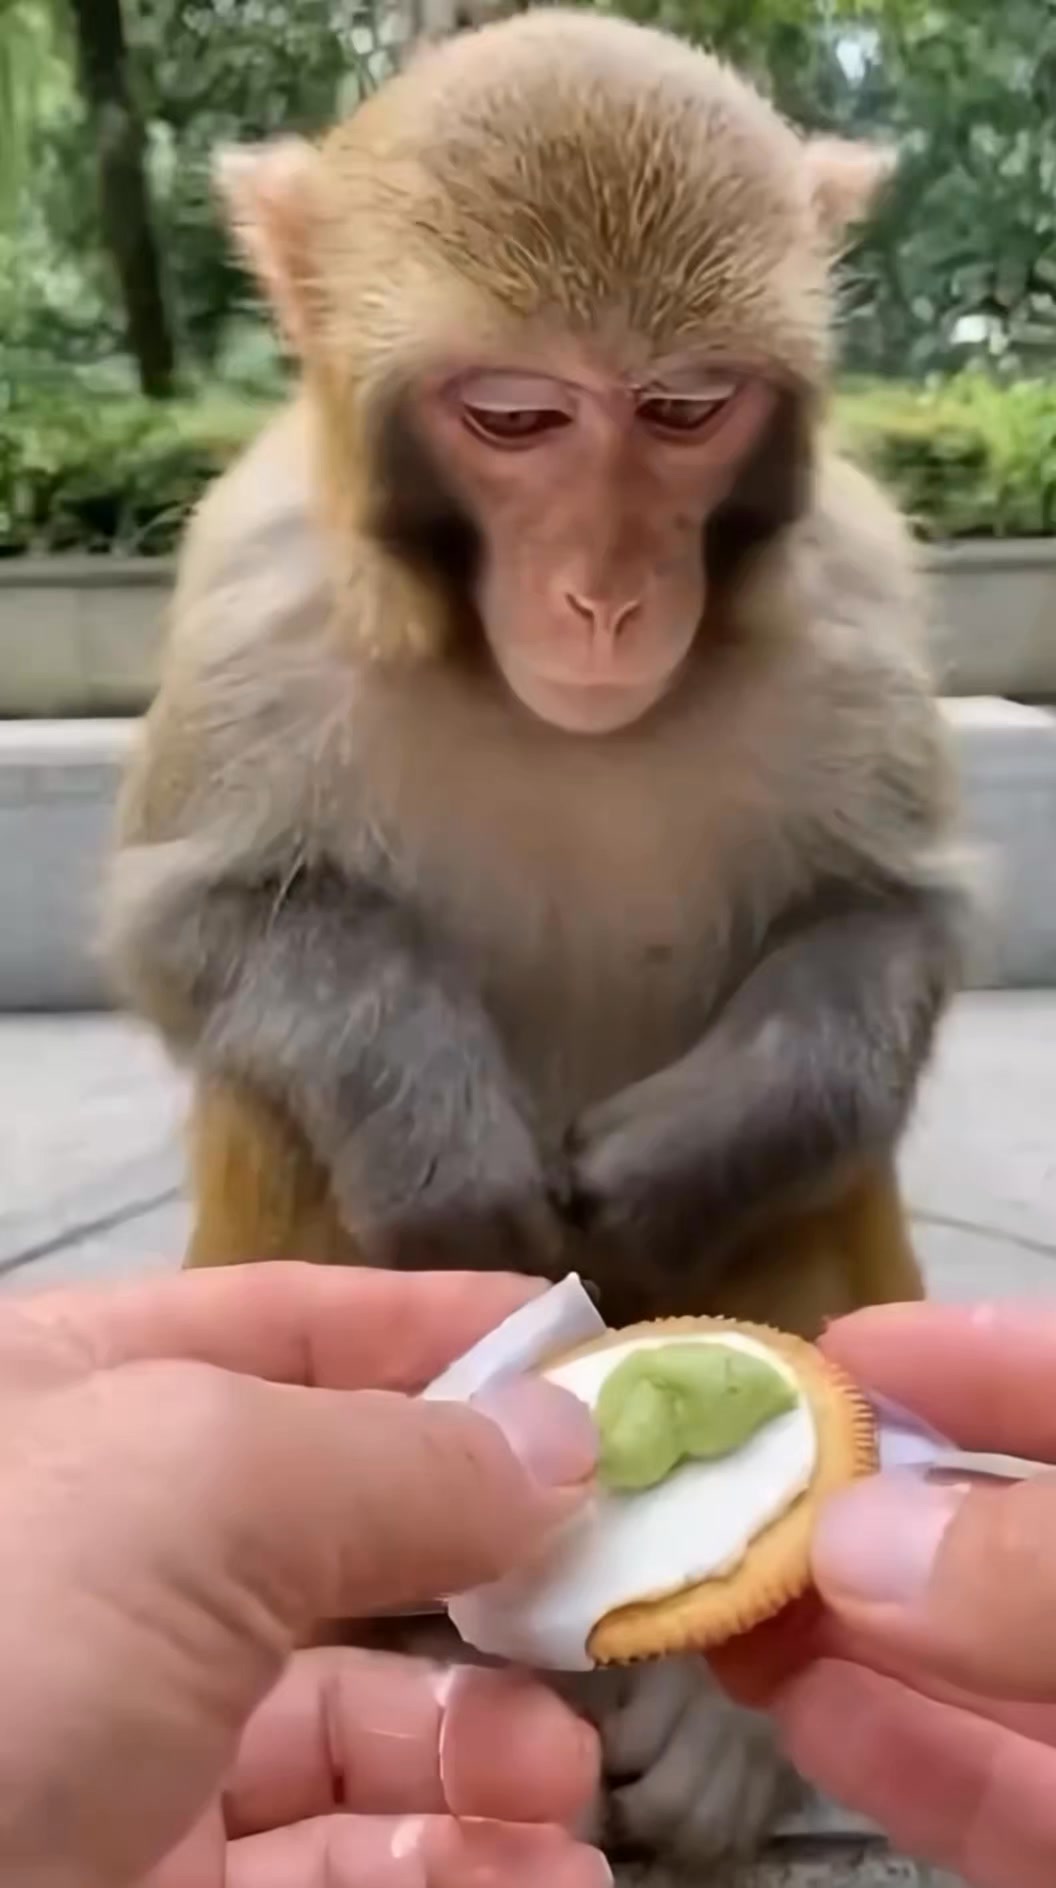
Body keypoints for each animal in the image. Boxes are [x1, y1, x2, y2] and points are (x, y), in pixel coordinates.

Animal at [102, 9, 970, 1870]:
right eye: (513, 414)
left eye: (686, 407)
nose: (607, 593)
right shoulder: (255, 587)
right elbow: (206, 923)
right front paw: (442, 1146)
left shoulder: (852, 589)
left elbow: (885, 925)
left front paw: (679, 1162)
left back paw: (728, 1720)